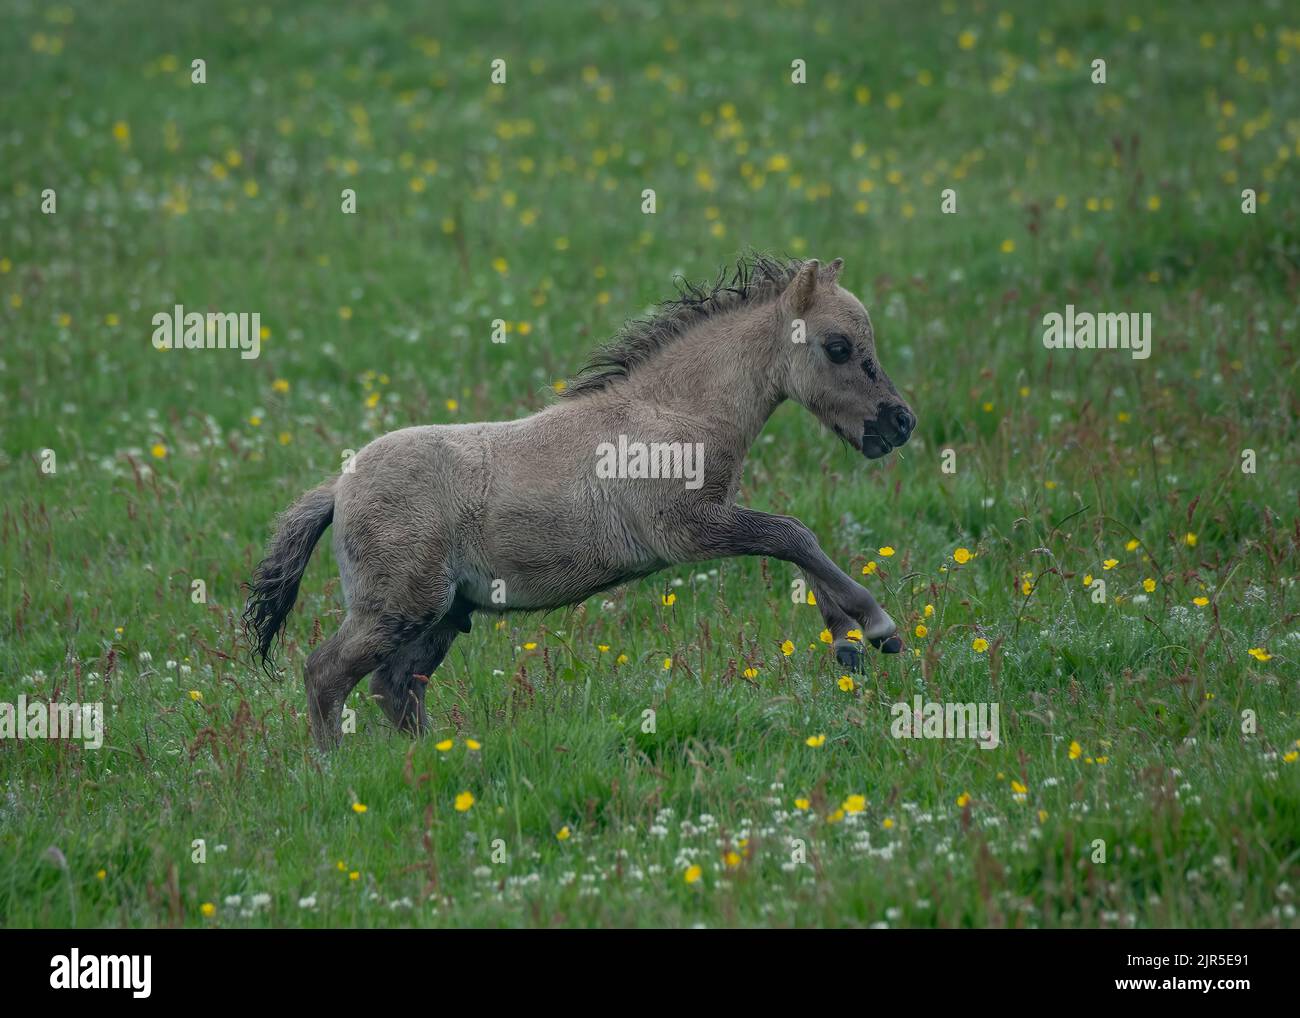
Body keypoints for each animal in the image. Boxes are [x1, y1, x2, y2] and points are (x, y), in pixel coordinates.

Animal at [243, 254, 917, 749]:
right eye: (838, 346)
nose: (900, 423)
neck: (673, 410)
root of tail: (339, 487)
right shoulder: (690, 530)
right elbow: (791, 534)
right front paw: (877, 627)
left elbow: (795, 545)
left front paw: (847, 643)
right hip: (396, 608)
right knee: (326, 674)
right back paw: (331, 771)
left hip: (442, 616)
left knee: (396, 688)